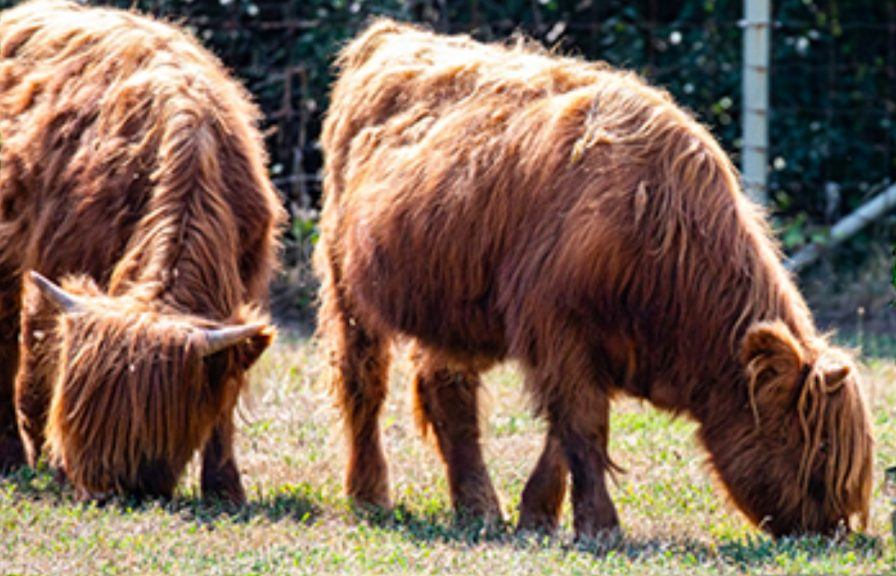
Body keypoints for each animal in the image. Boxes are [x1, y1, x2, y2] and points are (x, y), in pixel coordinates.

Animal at [0, 0, 284, 502]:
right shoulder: (61, 261)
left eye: (147, 435)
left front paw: (224, 488)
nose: (106, 488)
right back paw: (12, 457)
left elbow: (227, 384)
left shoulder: (246, 281)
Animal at [314, 19, 873, 539]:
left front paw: (538, 517)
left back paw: (478, 509)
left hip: (446, 306)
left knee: (449, 395)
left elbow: (562, 436)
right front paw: (600, 526)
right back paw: (371, 496)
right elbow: (583, 427)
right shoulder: (559, 331)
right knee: (363, 382)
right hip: (346, 285)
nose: (829, 531)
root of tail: (391, 34)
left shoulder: (584, 352)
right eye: (816, 448)